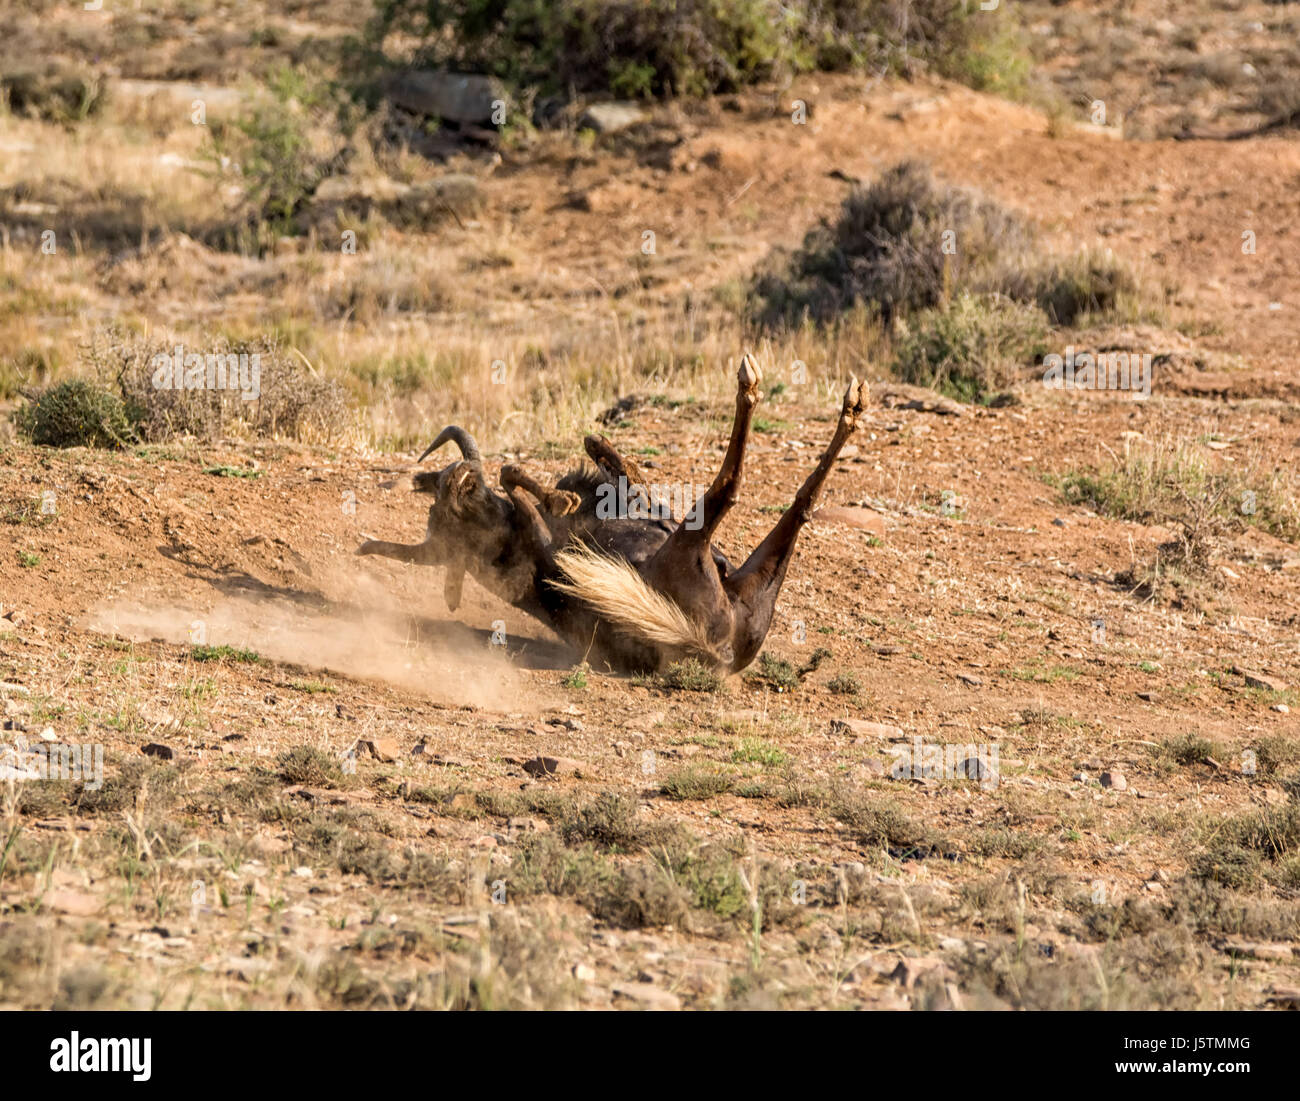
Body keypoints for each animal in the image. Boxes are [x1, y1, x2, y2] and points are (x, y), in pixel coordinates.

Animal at [357, 355, 867, 673]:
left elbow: (589, 456)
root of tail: (718, 652)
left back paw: (852, 405)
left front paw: (585, 483)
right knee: (729, 490)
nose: (463, 485)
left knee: (797, 508)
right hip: (690, 545)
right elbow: (520, 481)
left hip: (752, 570)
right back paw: (758, 387)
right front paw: (560, 499)